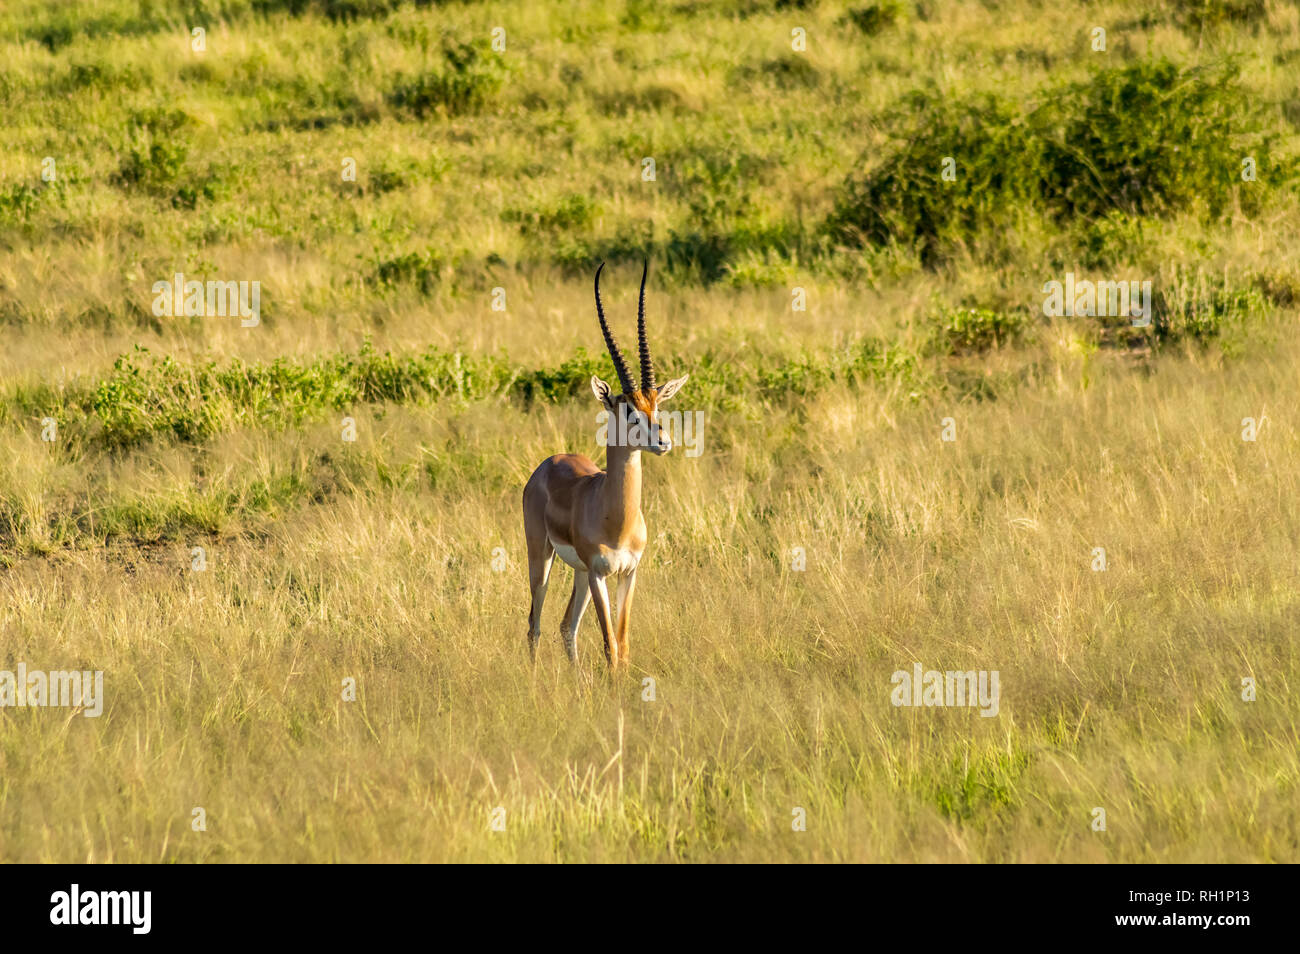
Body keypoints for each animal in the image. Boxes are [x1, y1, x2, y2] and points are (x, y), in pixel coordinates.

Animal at [522, 262, 688, 670]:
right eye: (628, 410)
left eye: (656, 405)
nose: (663, 442)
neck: (617, 520)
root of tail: (549, 463)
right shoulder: (600, 573)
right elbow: (610, 644)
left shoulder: (629, 572)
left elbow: (623, 645)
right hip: (542, 558)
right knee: (534, 624)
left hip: (578, 573)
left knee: (566, 625)